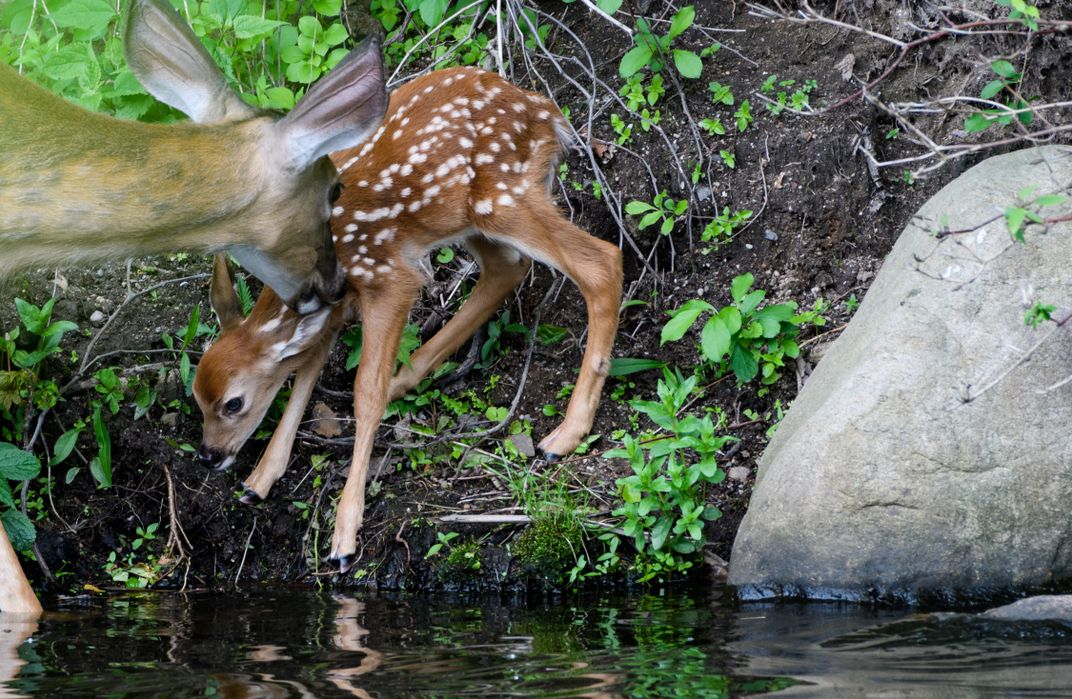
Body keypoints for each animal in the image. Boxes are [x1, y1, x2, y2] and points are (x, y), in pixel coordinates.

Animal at [193, 66, 623, 573]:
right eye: (197, 399)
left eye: (233, 403)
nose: (208, 455)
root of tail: (546, 111)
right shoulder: (338, 301)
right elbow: (304, 368)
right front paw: (260, 479)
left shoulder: (385, 277)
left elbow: (364, 391)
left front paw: (344, 533)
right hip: (463, 217)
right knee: (506, 269)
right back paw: (409, 376)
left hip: (503, 196)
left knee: (601, 262)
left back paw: (566, 433)